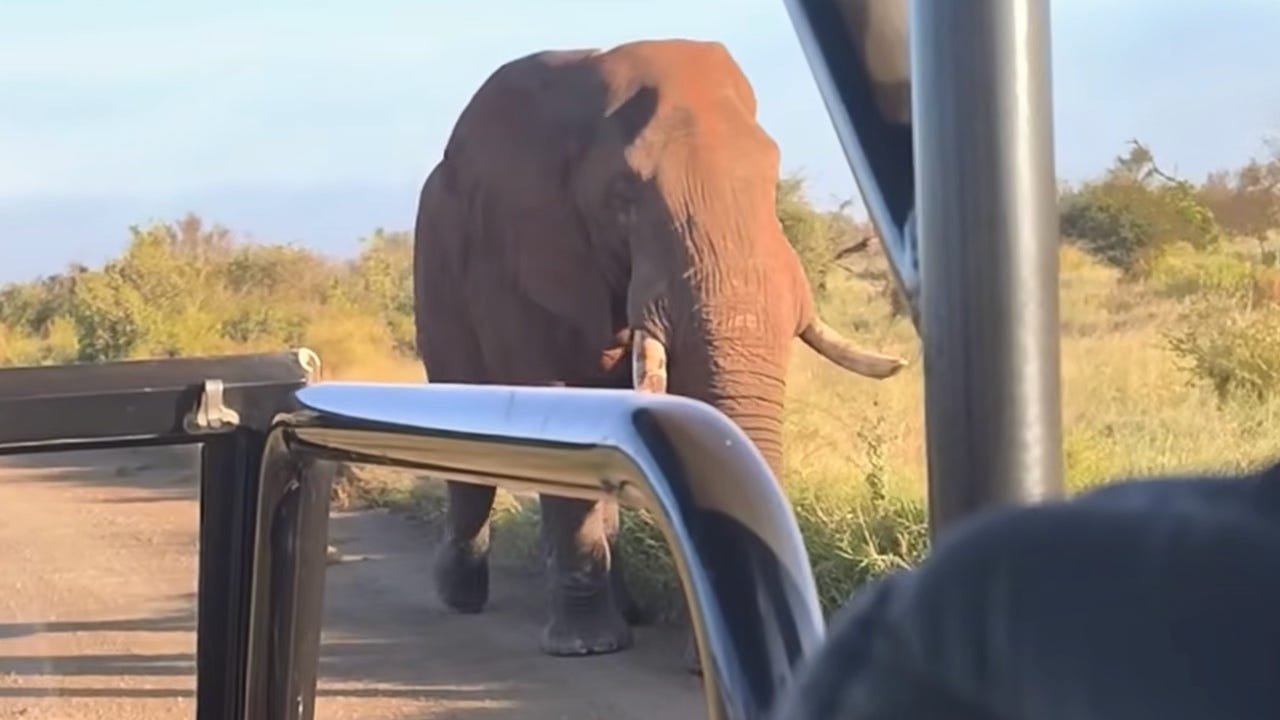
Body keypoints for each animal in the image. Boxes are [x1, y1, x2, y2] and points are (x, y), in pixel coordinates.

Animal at [412, 38, 908, 662]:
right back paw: (461, 596)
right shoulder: (518, 253)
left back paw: (628, 611)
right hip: (435, 280)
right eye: (624, 198)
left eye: (772, 181)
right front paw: (586, 648)